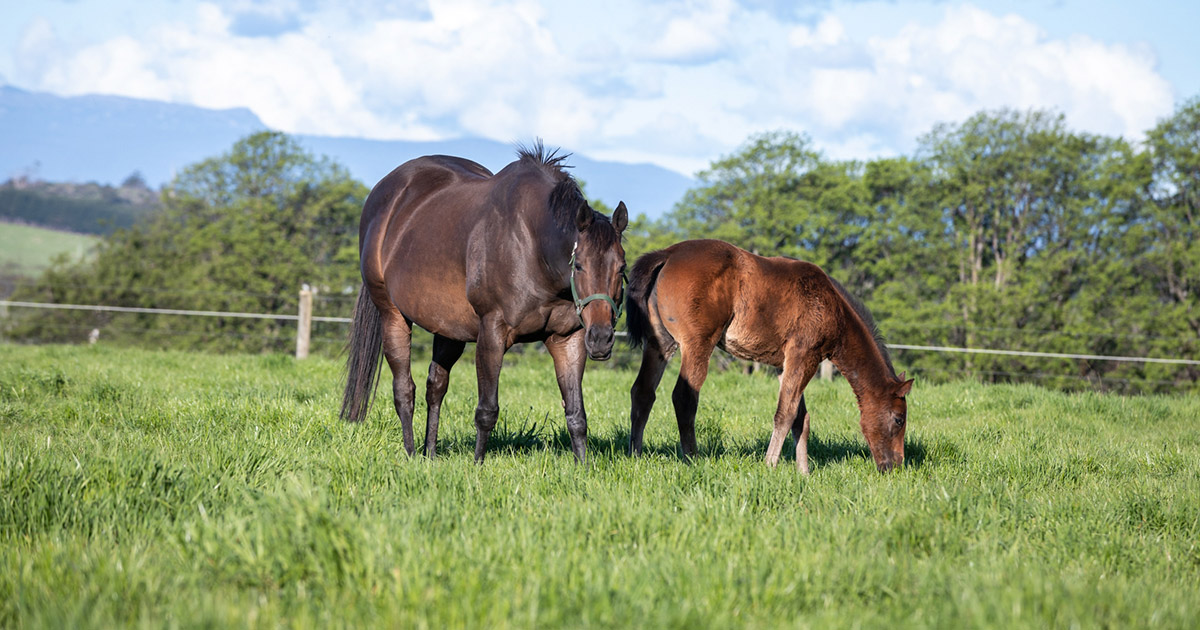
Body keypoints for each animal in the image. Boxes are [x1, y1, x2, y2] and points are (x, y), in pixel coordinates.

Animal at [340, 145, 628, 462]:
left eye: (622, 268)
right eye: (578, 265)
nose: (601, 338)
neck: (533, 246)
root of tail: (384, 193)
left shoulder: (568, 339)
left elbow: (576, 415)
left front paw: (582, 468)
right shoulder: (492, 332)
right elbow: (487, 411)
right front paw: (477, 465)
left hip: (448, 329)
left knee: (435, 387)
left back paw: (430, 454)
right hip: (392, 315)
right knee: (404, 390)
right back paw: (413, 454)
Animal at [624, 239, 912, 473]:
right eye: (899, 419)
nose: (895, 467)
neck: (832, 306)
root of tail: (668, 253)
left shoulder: (785, 365)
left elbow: (801, 418)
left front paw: (803, 472)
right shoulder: (804, 355)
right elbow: (785, 413)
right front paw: (770, 464)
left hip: (659, 344)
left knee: (642, 392)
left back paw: (635, 455)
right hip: (697, 344)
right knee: (684, 397)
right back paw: (692, 459)